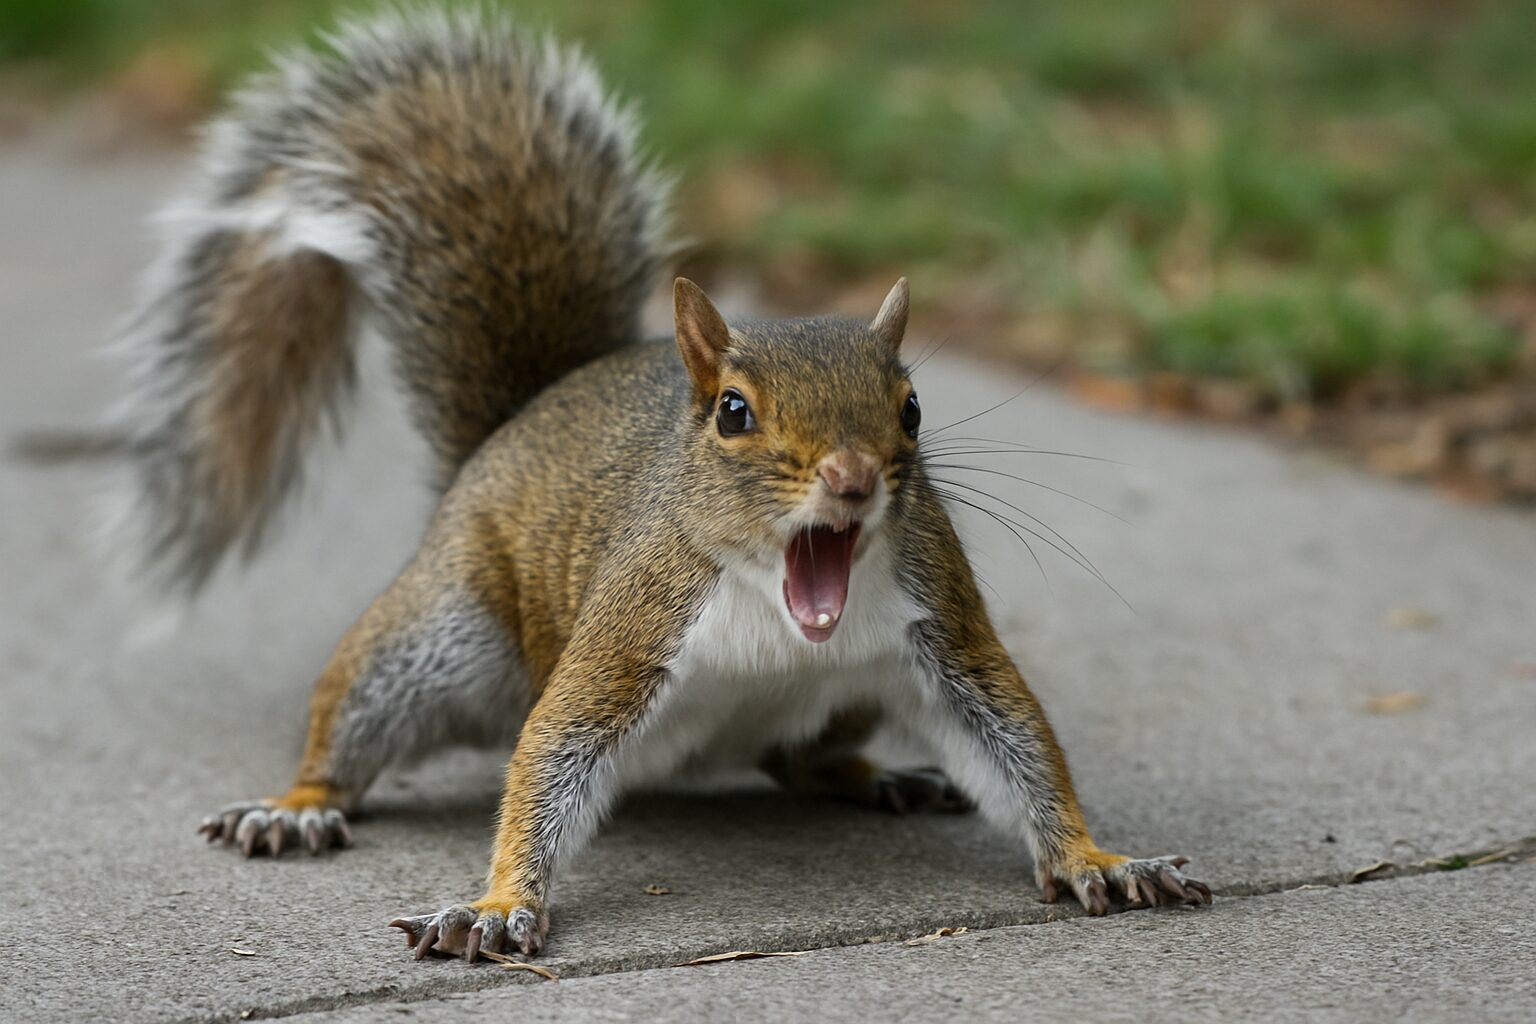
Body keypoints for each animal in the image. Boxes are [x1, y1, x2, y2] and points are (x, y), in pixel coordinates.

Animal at [112, 10, 1210, 961]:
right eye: (732, 412)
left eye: (910, 409)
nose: (853, 479)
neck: (778, 602)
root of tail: (514, 423)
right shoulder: (628, 630)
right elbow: (548, 755)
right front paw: (497, 905)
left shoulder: (942, 625)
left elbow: (1015, 738)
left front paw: (1100, 860)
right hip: (438, 641)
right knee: (351, 724)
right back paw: (294, 807)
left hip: (850, 701)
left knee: (796, 756)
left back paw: (878, 774)